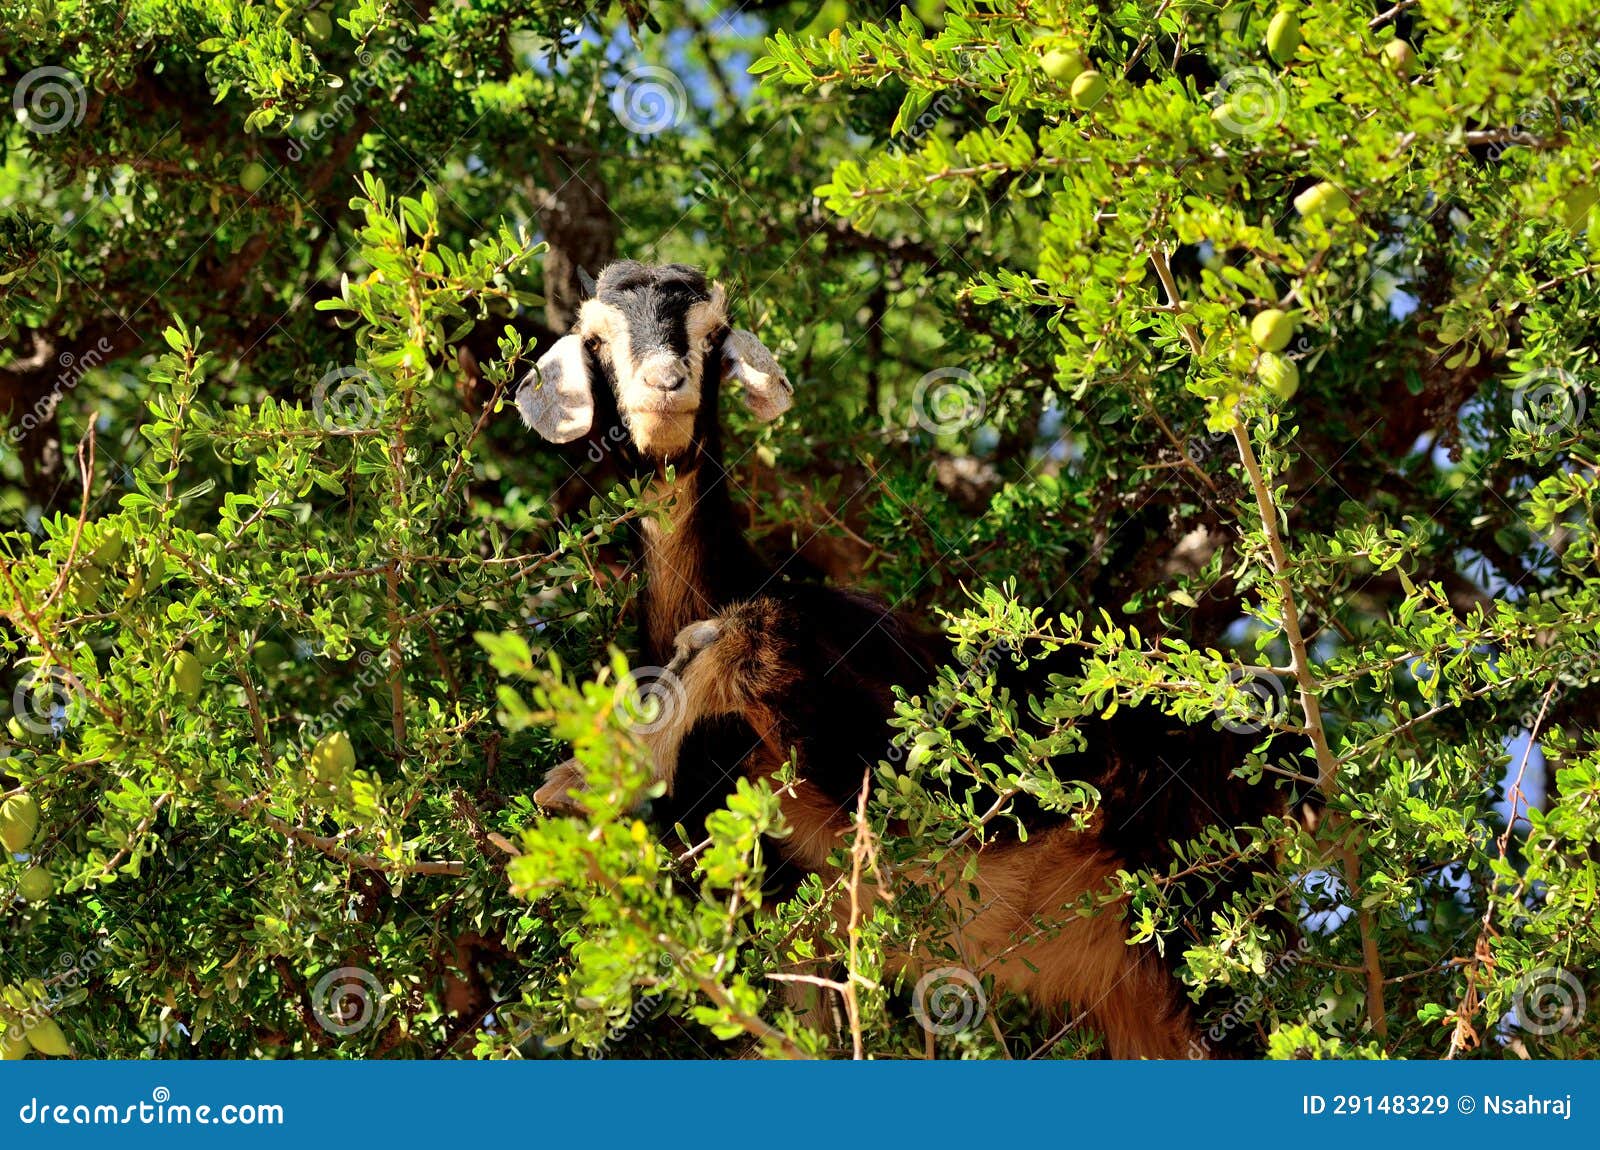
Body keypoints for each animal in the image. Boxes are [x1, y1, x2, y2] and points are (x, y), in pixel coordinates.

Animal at [514, 261, 1287, 1058]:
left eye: (712, 334)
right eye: (597, 340)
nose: (665, 387)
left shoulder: (895, 745)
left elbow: (750, 630)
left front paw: (588, 779)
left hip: (1199, 903)